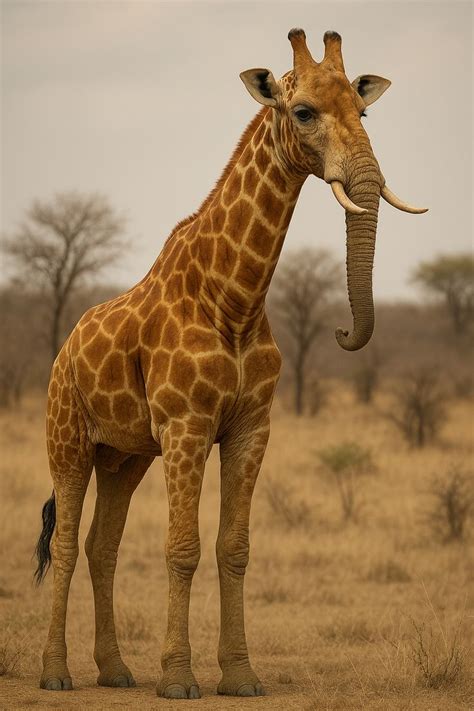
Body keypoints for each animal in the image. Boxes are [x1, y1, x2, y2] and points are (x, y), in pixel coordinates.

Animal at [35, 28, 427, 699]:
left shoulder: (250, 428)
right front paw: (178, 680)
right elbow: (182, 547)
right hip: (69, 439)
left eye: (364, 109)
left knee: (101, 543)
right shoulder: (186, 425)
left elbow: (234, 548)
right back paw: (56, 674)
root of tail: (62, 354)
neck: (235, 299)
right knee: (63, 542)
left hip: (124, 456)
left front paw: (241, 676)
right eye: (304, 112)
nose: (342, 329)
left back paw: (115, 671)